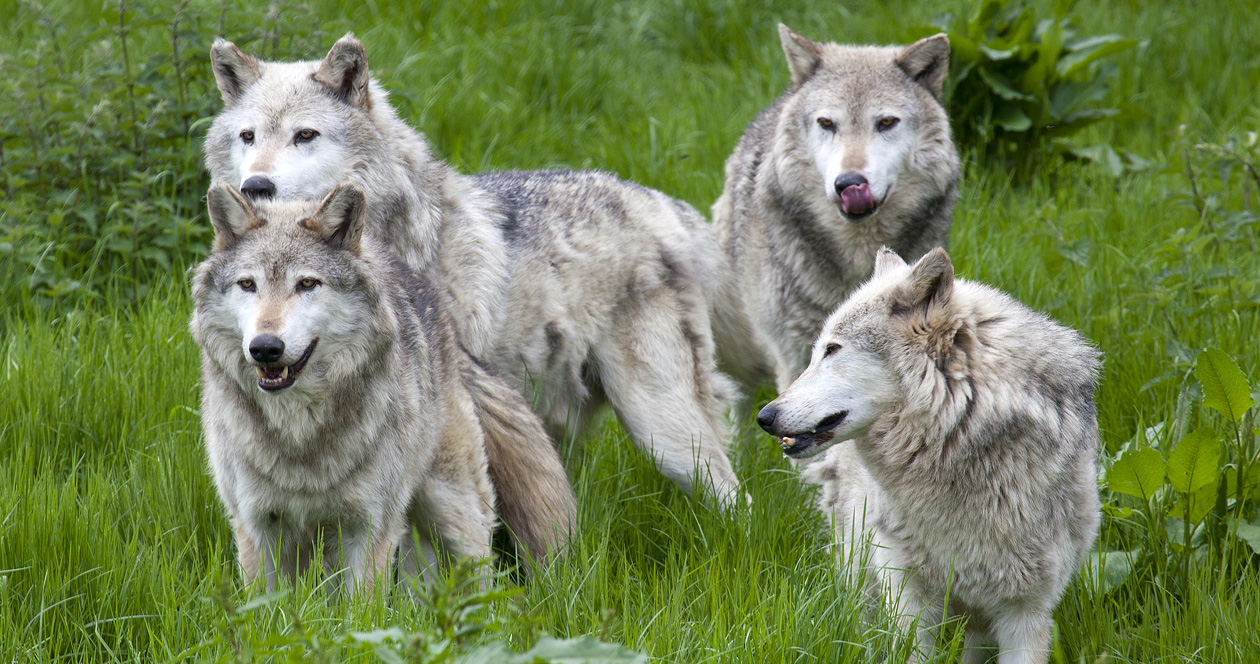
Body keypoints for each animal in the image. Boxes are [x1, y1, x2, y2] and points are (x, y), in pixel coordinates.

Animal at [190, 184, 576, 593]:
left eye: (307, 283)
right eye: (248, 284)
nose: (265, 347)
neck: (301, 432)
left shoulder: (369, 526)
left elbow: (360, 607)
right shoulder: (257, 527)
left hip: (453, 513)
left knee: (480, 577)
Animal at [204, 35, 741, 507]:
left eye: (305, 135)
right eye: (248, 136)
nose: (255, 187)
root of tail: (664, 204)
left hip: (663, 431)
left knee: (736, 498)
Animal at [756, 248, 1101, 663]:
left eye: (833, 350)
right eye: (816, 352)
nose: (764, 417)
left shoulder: (1027, 614)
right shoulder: (908, 598)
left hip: (977, 621)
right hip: (859, 569)